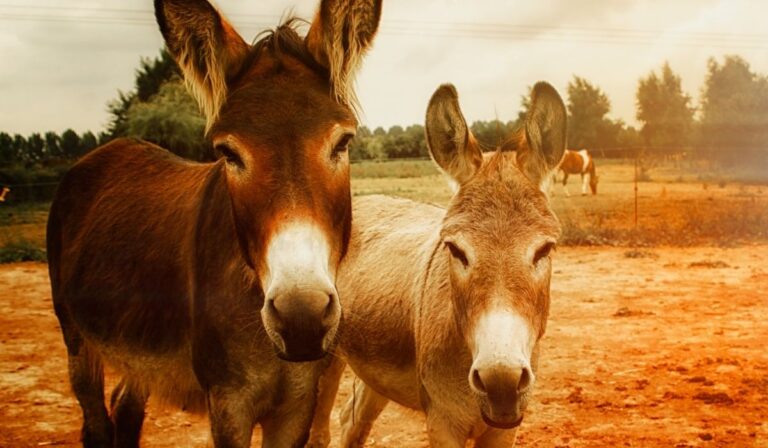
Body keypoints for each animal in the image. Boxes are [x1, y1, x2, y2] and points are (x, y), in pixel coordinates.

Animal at [46, 0, 381, 446]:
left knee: (126, 406)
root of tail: (108, 150)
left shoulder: (297, 404)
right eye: (228, 153)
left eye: (342, 142)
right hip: (77, 339)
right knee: (96, 422)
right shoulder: (228, 403)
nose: (301, 318)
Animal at [307, 82, 565, 447]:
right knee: (320, 428)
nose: (501, 382)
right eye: (455, 250)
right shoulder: (443, 421)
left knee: (352, 420)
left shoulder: (505, 428)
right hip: (325, 355)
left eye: (545, 249)